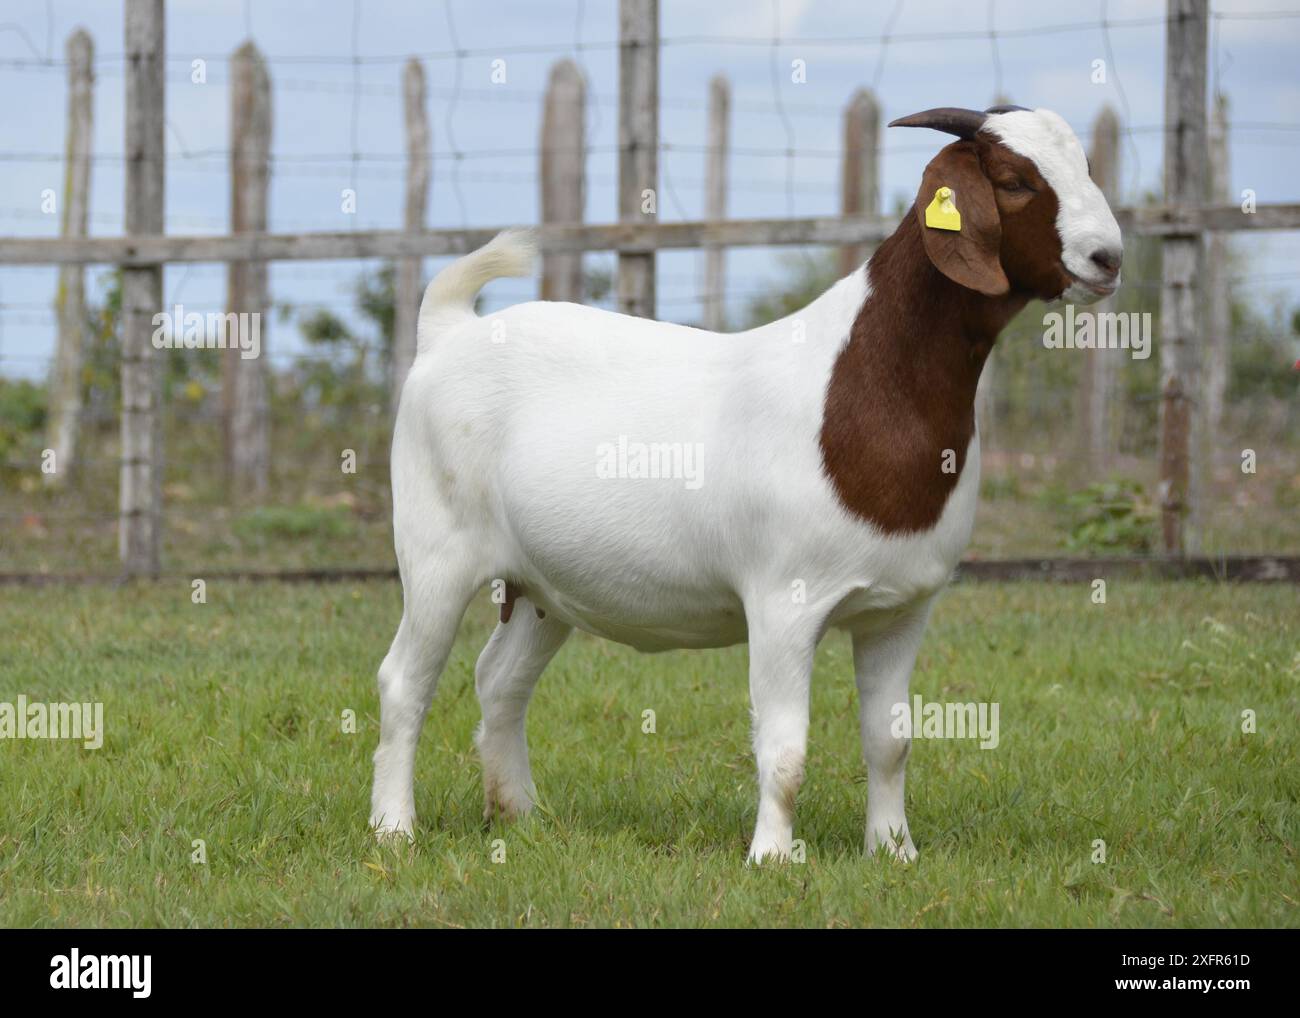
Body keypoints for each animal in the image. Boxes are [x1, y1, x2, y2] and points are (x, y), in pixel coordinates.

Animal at [370, 105, 1123, 862]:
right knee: (405, 681)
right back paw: (395, 829)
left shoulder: (901, 610)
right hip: (436, 552)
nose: (1108, 258)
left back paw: (520, 818)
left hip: (541, 585)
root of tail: (447, 332)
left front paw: (893, 852)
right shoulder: (783, 603)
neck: (864, 384)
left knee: (499, 680)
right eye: (1015, 180)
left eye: (1083, 165)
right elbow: (784, 749)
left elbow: (891, 741)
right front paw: (773, 857)